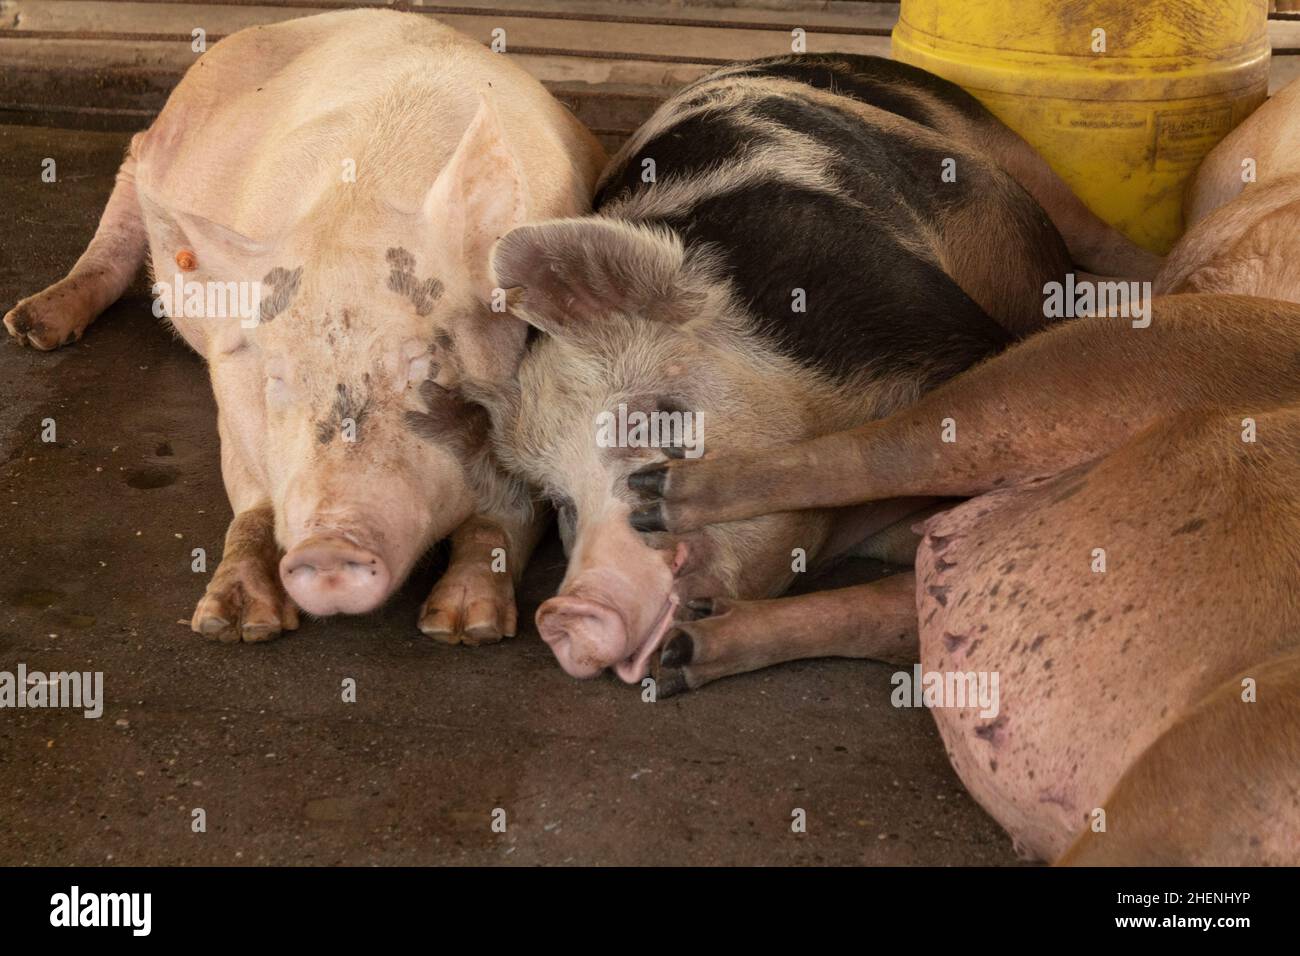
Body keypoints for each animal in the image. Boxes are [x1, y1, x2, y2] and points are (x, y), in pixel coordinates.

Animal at [3, 10, 607, 642]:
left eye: (423, 365)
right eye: (277, 378)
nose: (329, 546)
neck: (360, 203)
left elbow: (512, 508)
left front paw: (465, 625)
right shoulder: (232, 387)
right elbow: (253, 498)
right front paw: (233, 624)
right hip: (160, 144)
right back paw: (28, 327)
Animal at [631, 293, 1300, 864]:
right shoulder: (1200, 767)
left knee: (881, 605)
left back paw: (681, 646)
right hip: (1093, 371)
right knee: (861, 454)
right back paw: (651, 495)